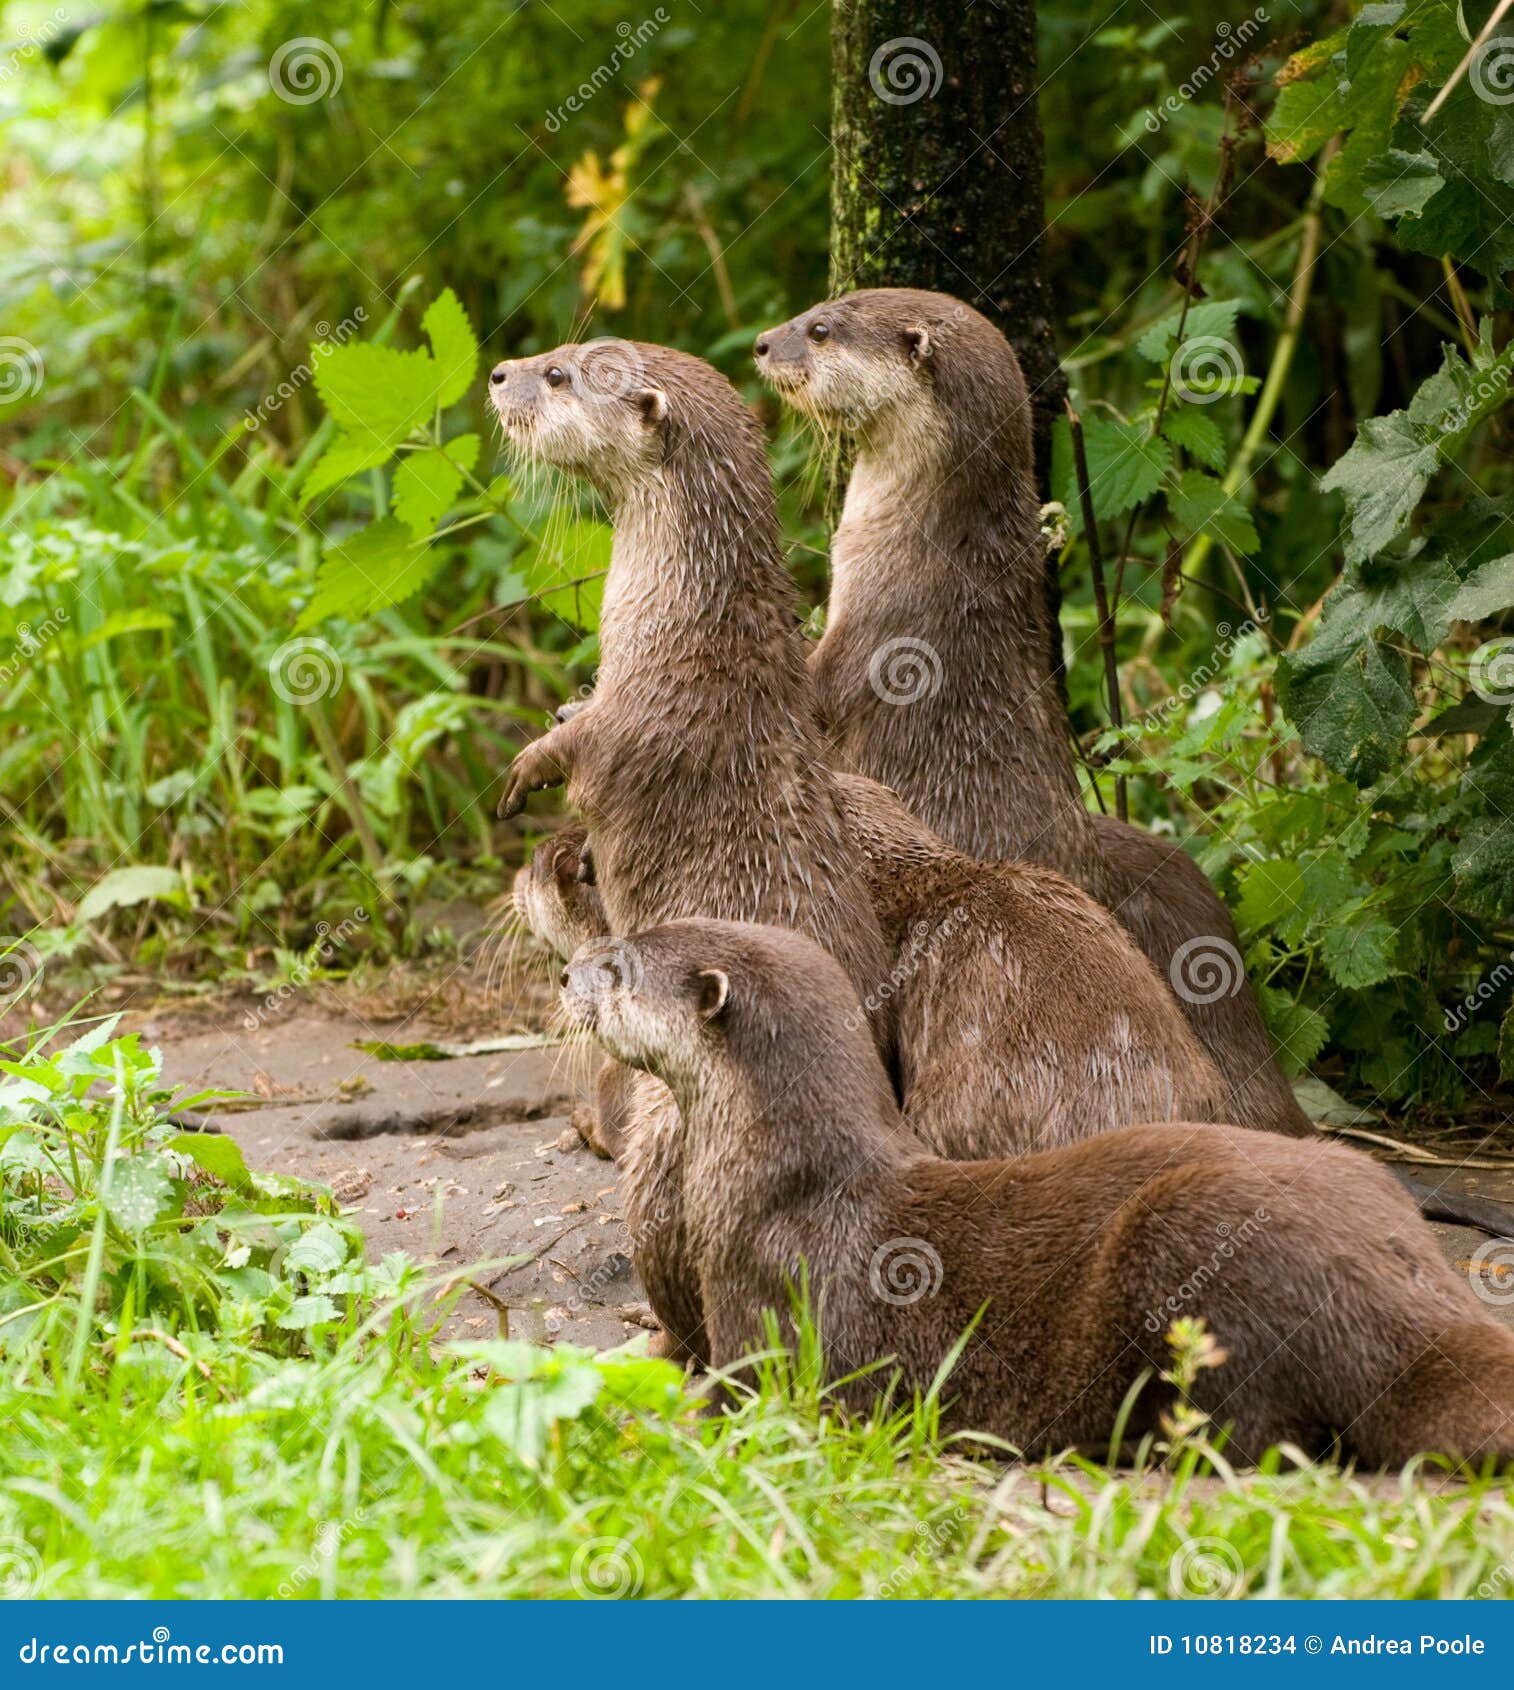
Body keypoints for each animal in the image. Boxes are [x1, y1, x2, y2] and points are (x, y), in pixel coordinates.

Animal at [562, 917, 1514, 1467]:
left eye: (619, 965)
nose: (567, 974)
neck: (778, 1183)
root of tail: (1402, 1305)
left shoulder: (757, 1318)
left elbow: (728, 1403)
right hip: (1365, 1181)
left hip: (1190, 1241)